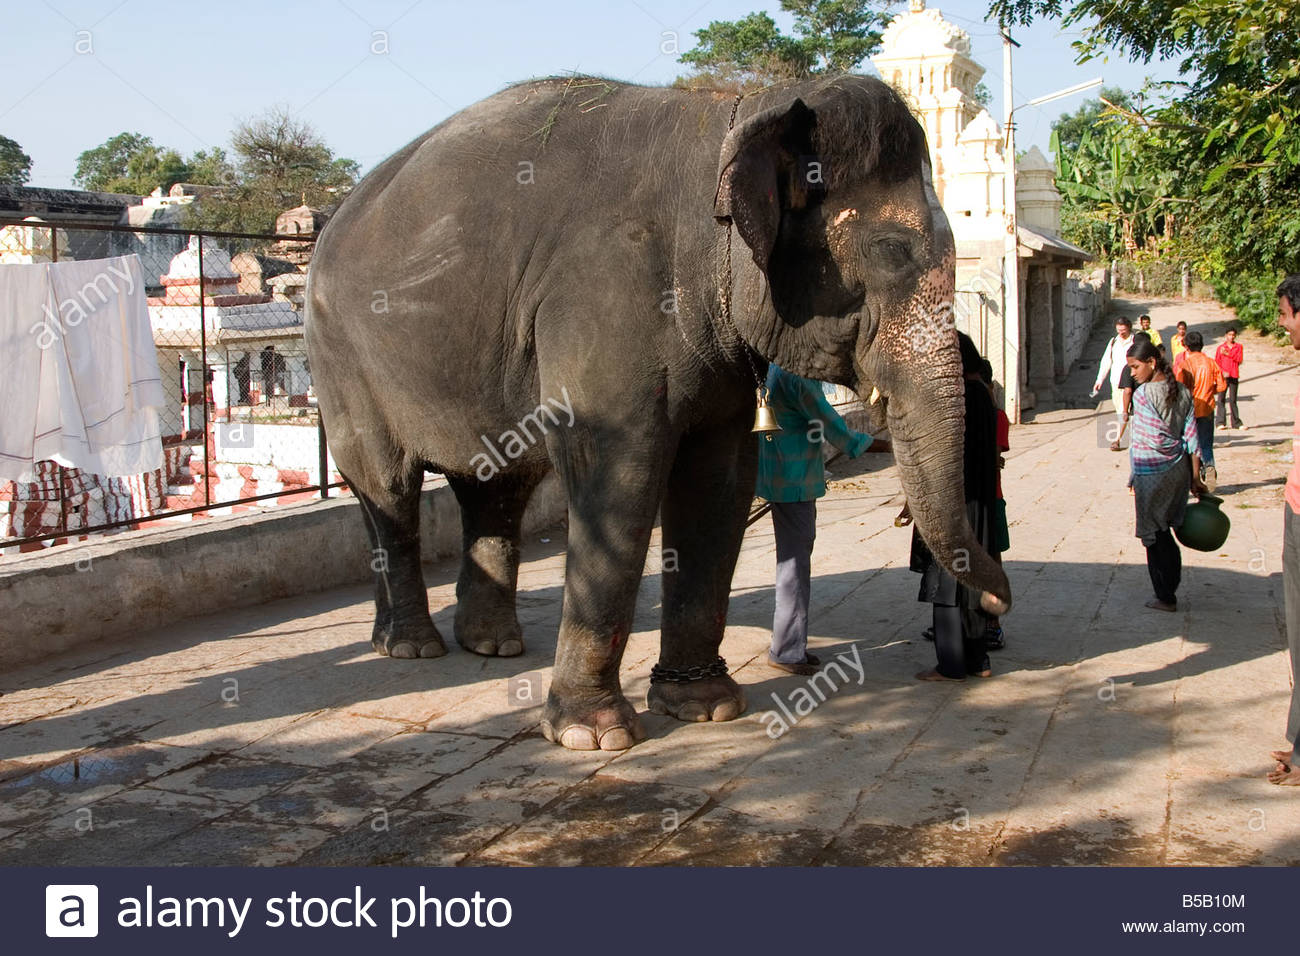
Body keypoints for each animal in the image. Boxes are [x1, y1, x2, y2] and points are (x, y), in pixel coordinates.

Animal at [304, 73, 1013, 752]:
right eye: (891, 251)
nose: (995, 604)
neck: (738, 115)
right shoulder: (605, 302)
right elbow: (620, 478)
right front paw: (595, 735)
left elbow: (719, 480)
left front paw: (706, 707)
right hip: (340, 358)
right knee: (387, 487)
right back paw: (411, 646)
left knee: (497, 487)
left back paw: (489, 645)